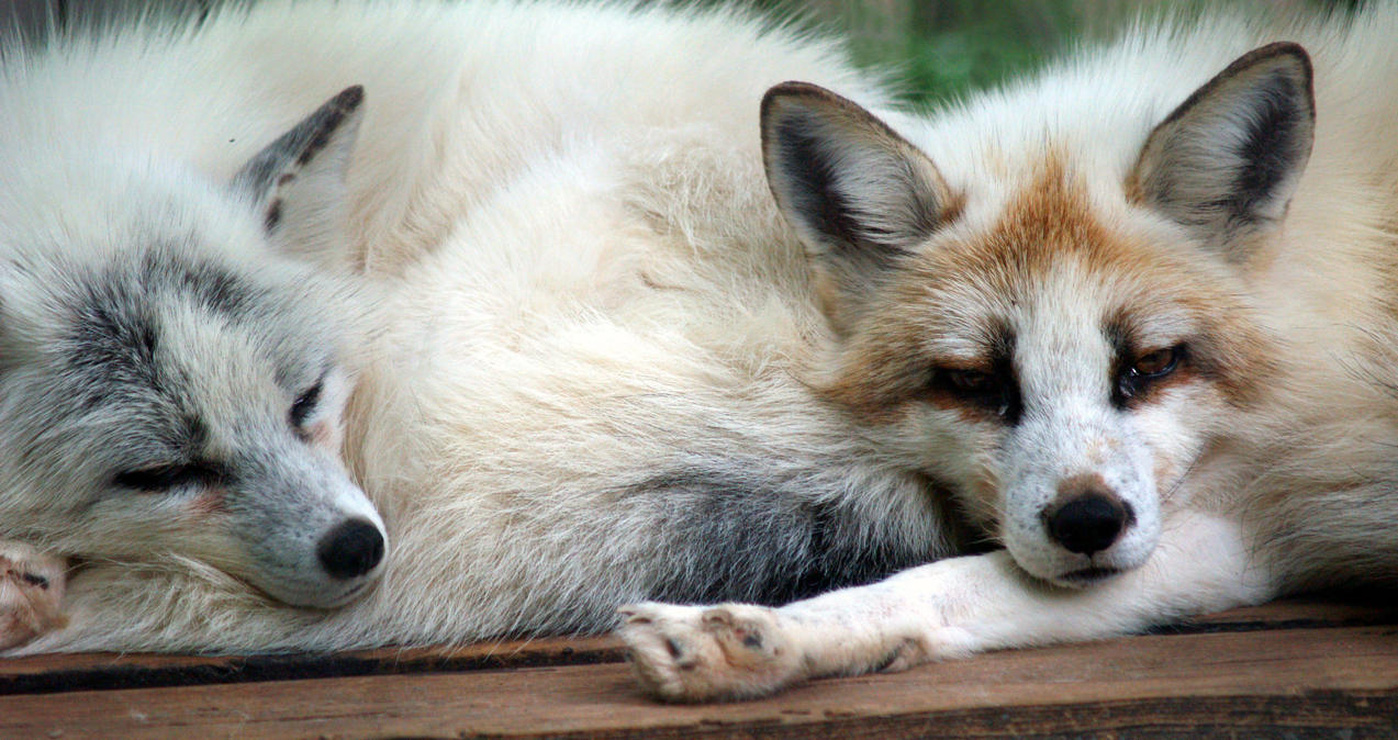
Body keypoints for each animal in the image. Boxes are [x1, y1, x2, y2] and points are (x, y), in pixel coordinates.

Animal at [618, 5, 1398, 701]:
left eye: (1152, 363)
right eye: (972, 380)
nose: (1088, 523)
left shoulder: (1277, 498)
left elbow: (957, 578)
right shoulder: (1260, 524)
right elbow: (945, 587)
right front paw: (763, 638)